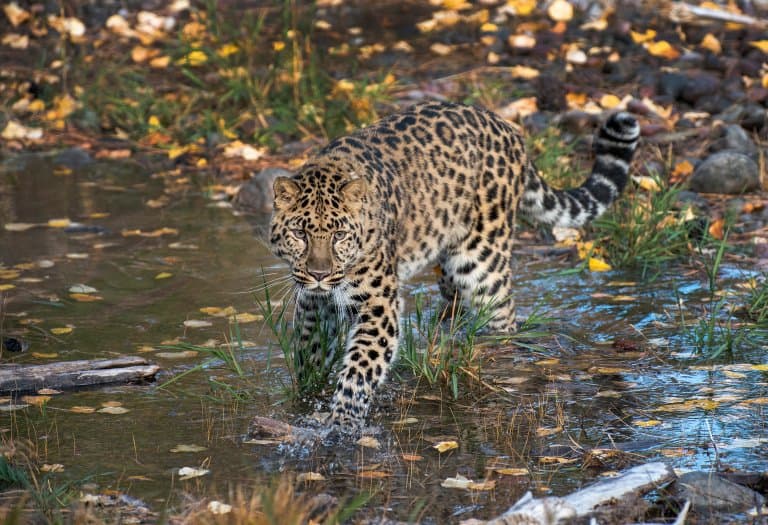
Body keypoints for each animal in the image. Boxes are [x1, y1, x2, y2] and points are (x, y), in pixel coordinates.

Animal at [269, 100, 639, 430]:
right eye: (299, 233)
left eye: (340, 235)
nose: (319, 274)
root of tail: (506, 127)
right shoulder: (313, 303)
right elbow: (309, 352)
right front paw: (306, 397)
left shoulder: (378, 304)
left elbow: (361, 367)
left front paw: (342, 423)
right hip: (449, 264)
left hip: (482, 261)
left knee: (503, 314)